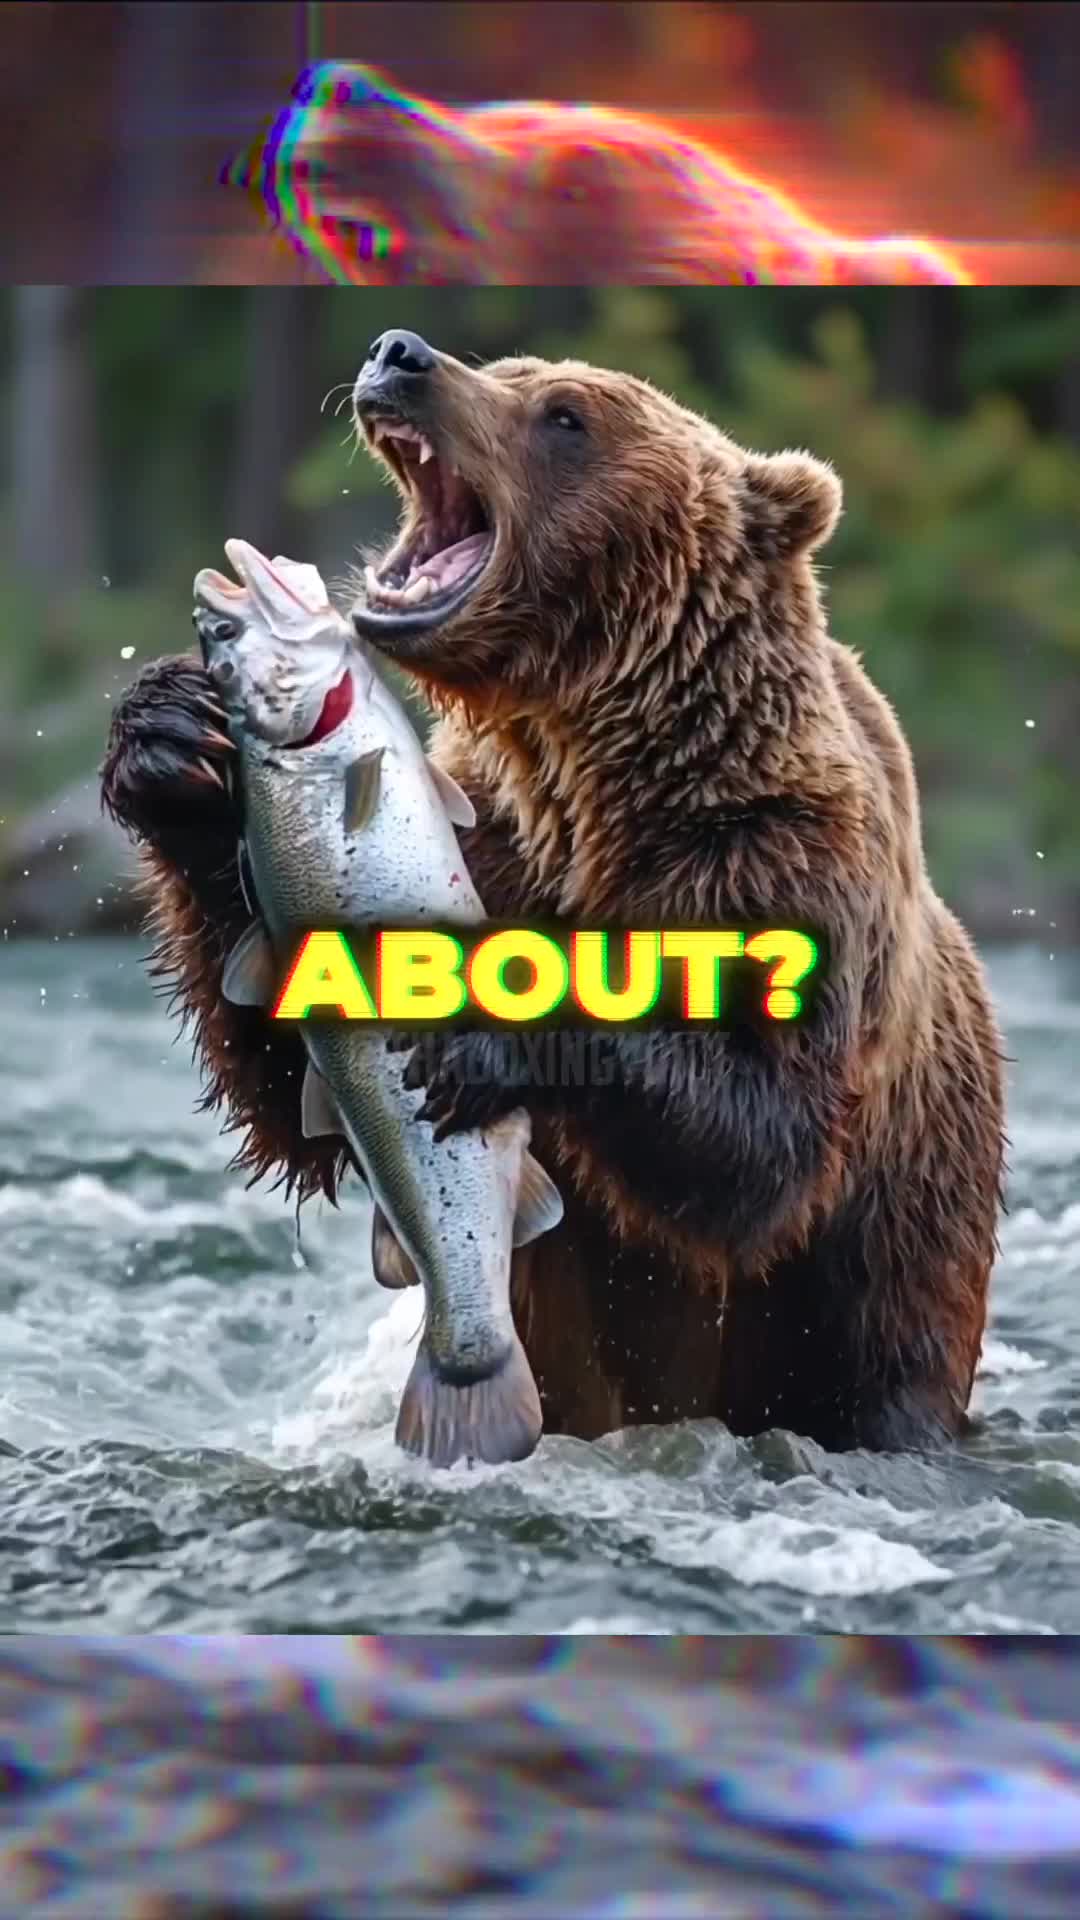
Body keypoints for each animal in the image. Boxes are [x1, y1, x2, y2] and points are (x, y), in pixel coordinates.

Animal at [102, 330, 1005, 1454]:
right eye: (509, 368)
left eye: (566, 413)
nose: (400, 354)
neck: (600, 779)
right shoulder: (495, 838)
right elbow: (297, 1099)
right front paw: (172, 736)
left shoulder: (782, 857)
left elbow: (761, 1145)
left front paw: (489, 1027)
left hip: (895, 1280)